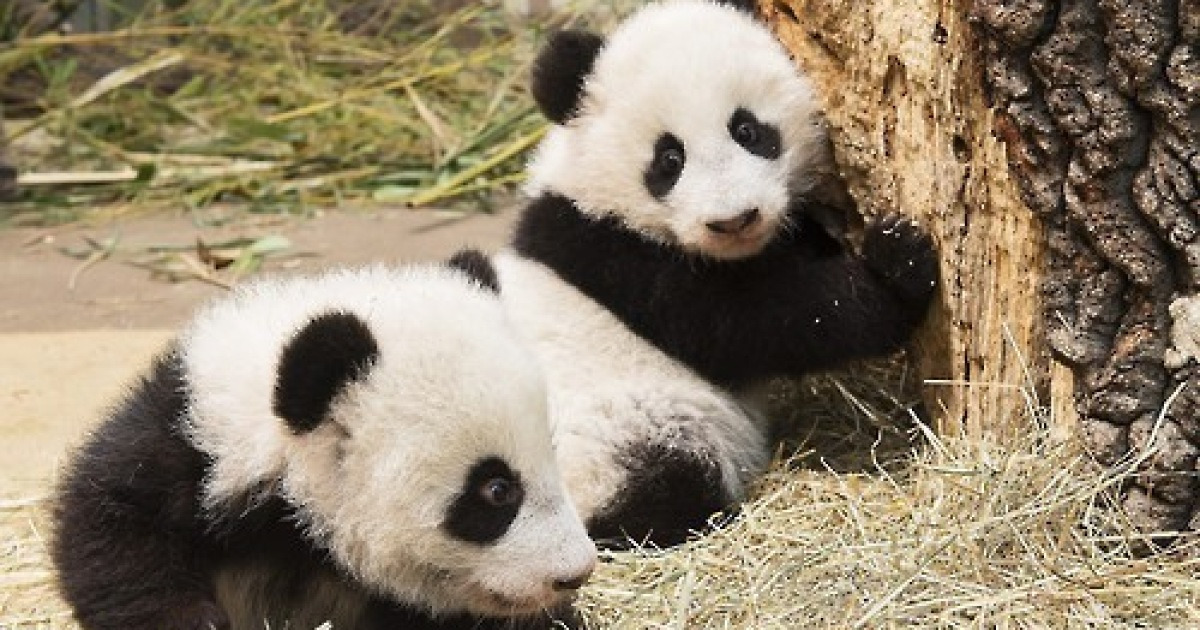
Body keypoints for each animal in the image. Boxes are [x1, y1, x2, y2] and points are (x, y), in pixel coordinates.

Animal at [470, 0, 940, 549]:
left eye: (749, 131)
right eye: (669, 159)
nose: (735, 220)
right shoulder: (617, 255)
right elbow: (760, 322)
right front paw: (897, 267)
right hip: (616, 435)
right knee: (665, 480)